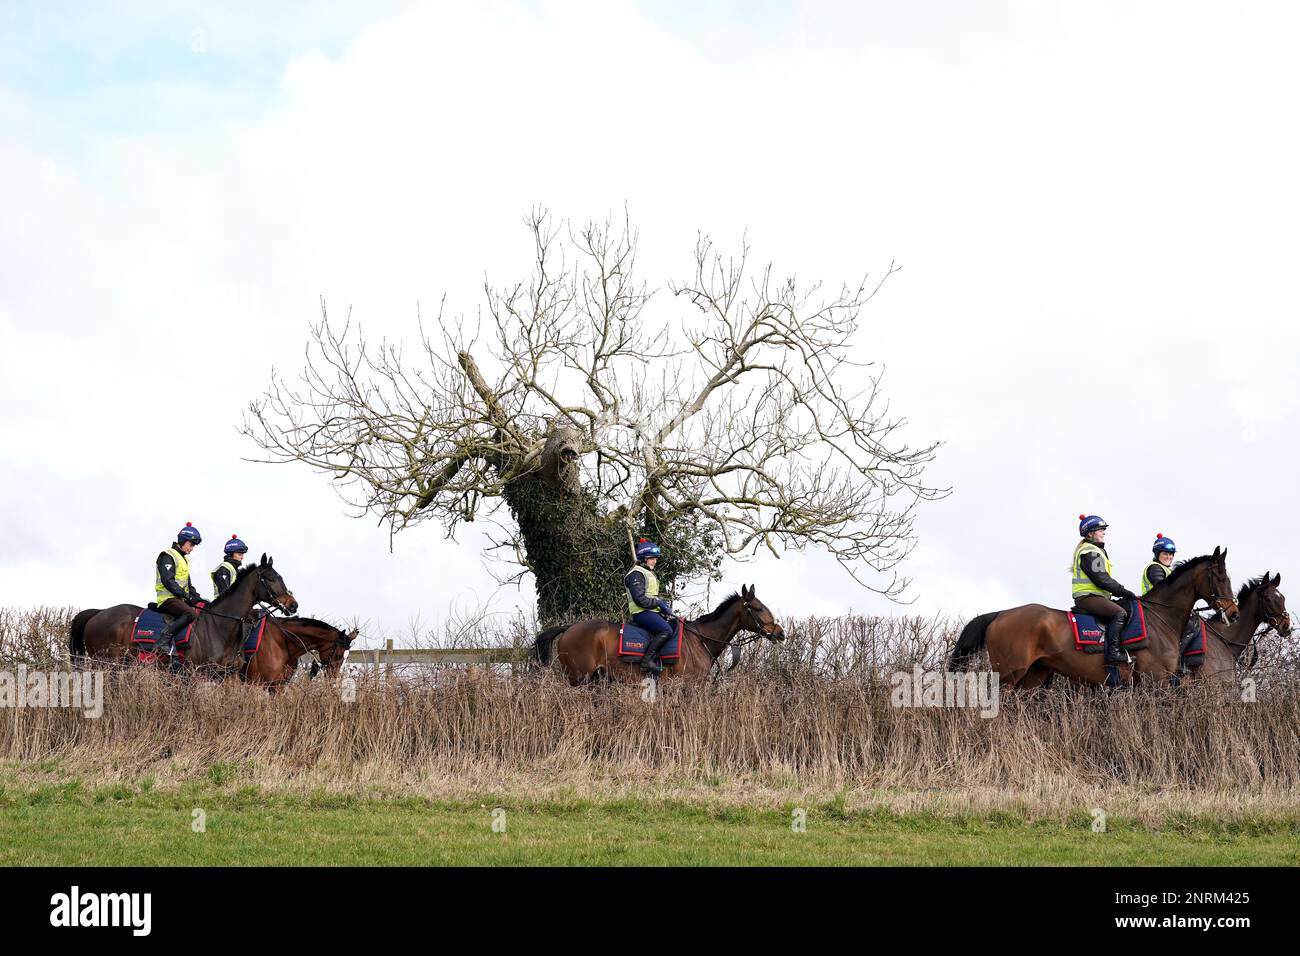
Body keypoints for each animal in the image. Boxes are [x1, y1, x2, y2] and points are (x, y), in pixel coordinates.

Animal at [69, 555, 297, 672]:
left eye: (280, 577)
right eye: (270, 578)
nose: (293, 604)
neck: (219, 626)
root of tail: (98, 613)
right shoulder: (191, 673)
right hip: (107, 663)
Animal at [947, 548, 1238, 689]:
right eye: (1220, 577)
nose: (1233, 613)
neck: (1161, 618)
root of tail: (1000, 614)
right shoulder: (1155, 681)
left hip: (1034, 675)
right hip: (1009, 674)